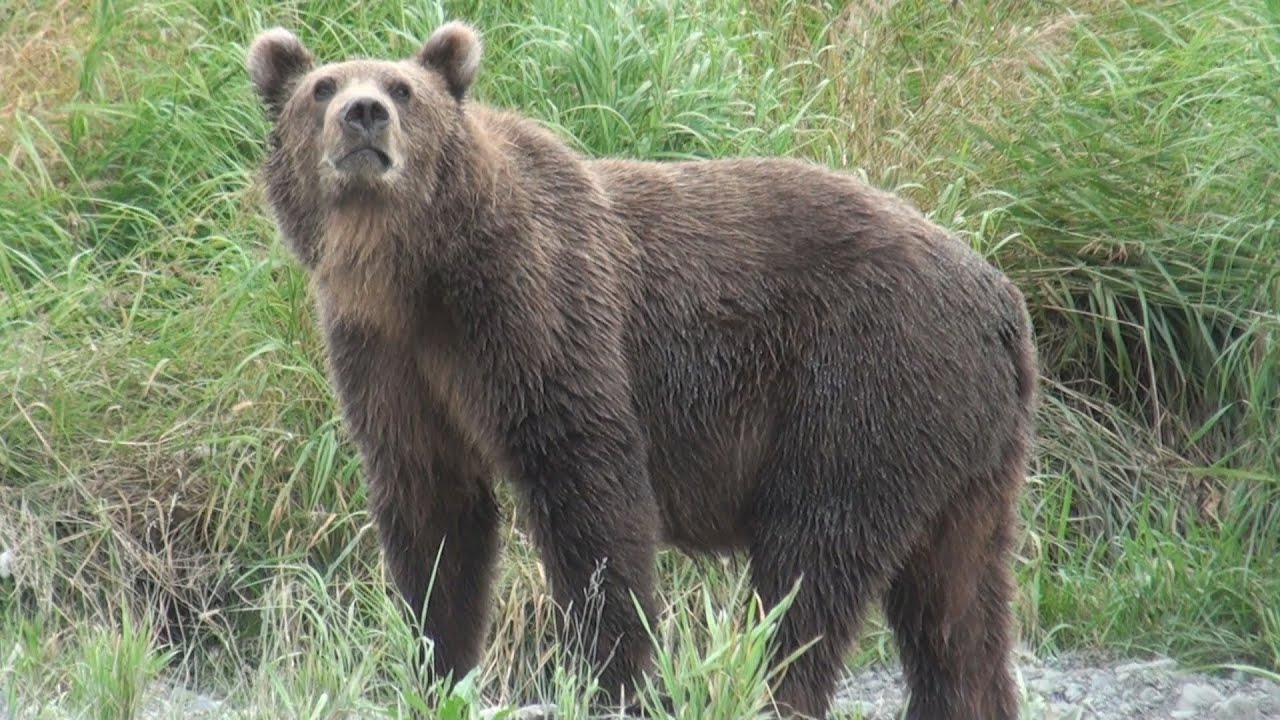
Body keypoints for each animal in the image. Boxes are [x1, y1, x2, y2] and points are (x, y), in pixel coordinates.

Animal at [246, 20, 1037, 720]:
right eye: (322, 86)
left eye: (404, 89)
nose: (364, 115)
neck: (412, 268)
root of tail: (1002, 301)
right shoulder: (387, 356)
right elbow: (433, 515)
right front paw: (437, 667)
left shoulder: (535, 309)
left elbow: (591, 493)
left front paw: (612, 676)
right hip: (969, 451)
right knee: (958, 602)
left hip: (865, 380)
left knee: (813, 558)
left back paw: (764, 686)